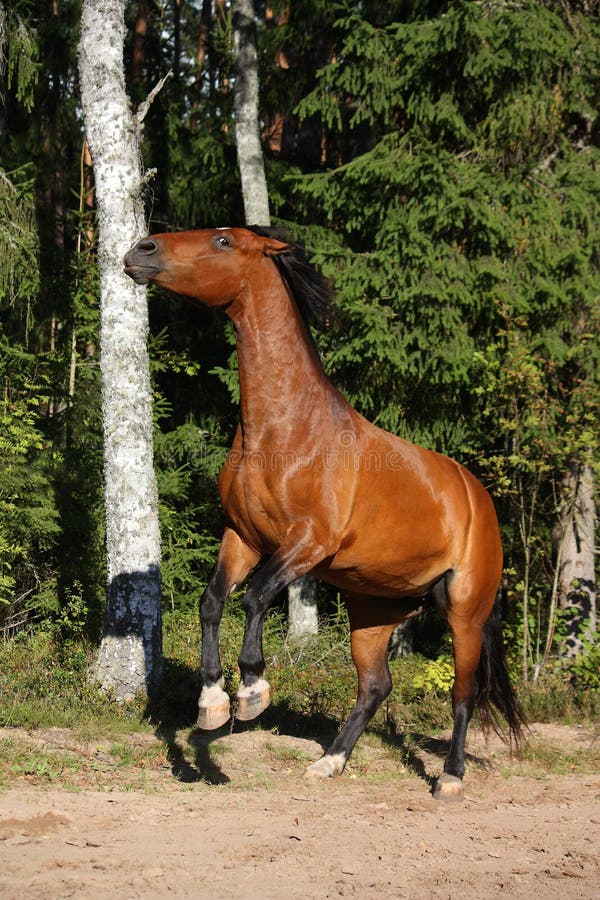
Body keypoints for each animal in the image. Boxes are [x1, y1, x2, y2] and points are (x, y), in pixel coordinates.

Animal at [124, 225, 524, 800]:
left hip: (465, 610)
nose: (141, 250)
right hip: (374, 611)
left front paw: (253, 689)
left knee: (463, 693)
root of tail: (479, 499)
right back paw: (329, 762)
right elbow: (213, 601)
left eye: (223, 240)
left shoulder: (309, 542)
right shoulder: (242, 536)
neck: (284, 431)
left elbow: (256, 596)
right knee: (375, 686)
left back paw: (449, 778)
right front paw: (212, 702)